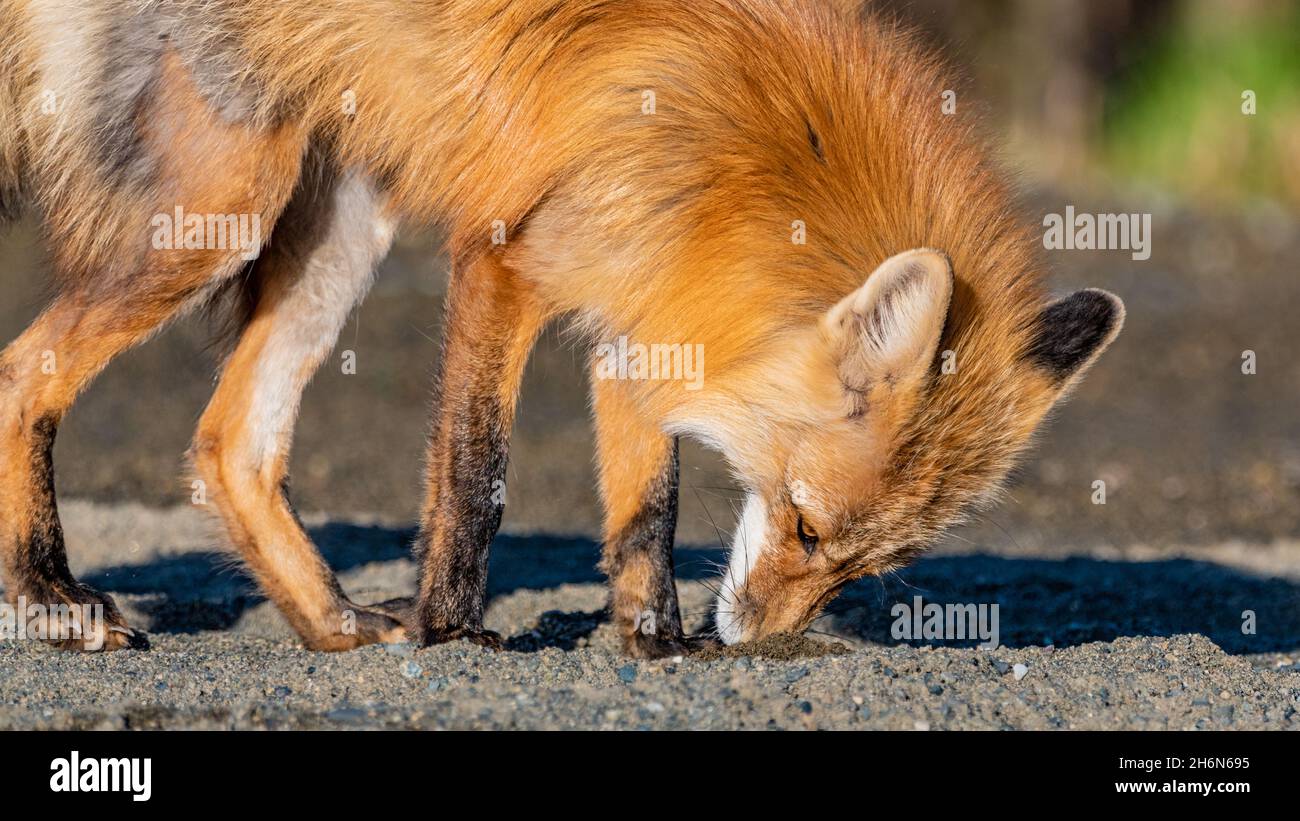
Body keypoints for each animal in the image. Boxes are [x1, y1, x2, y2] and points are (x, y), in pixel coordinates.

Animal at [0, 0, 1122, 657]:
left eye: (859, 568)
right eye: (805, 528)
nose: (756, 643)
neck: (742, 161)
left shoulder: (647, 305)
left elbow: (646, 510)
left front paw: (659, 644)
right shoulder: (510, 262)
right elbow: (477, 477)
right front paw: (452, 632)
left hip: (340, 226)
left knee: (230, 446)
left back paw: (334, 623)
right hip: (221, 213)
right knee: (22, 372)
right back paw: (50, 593)